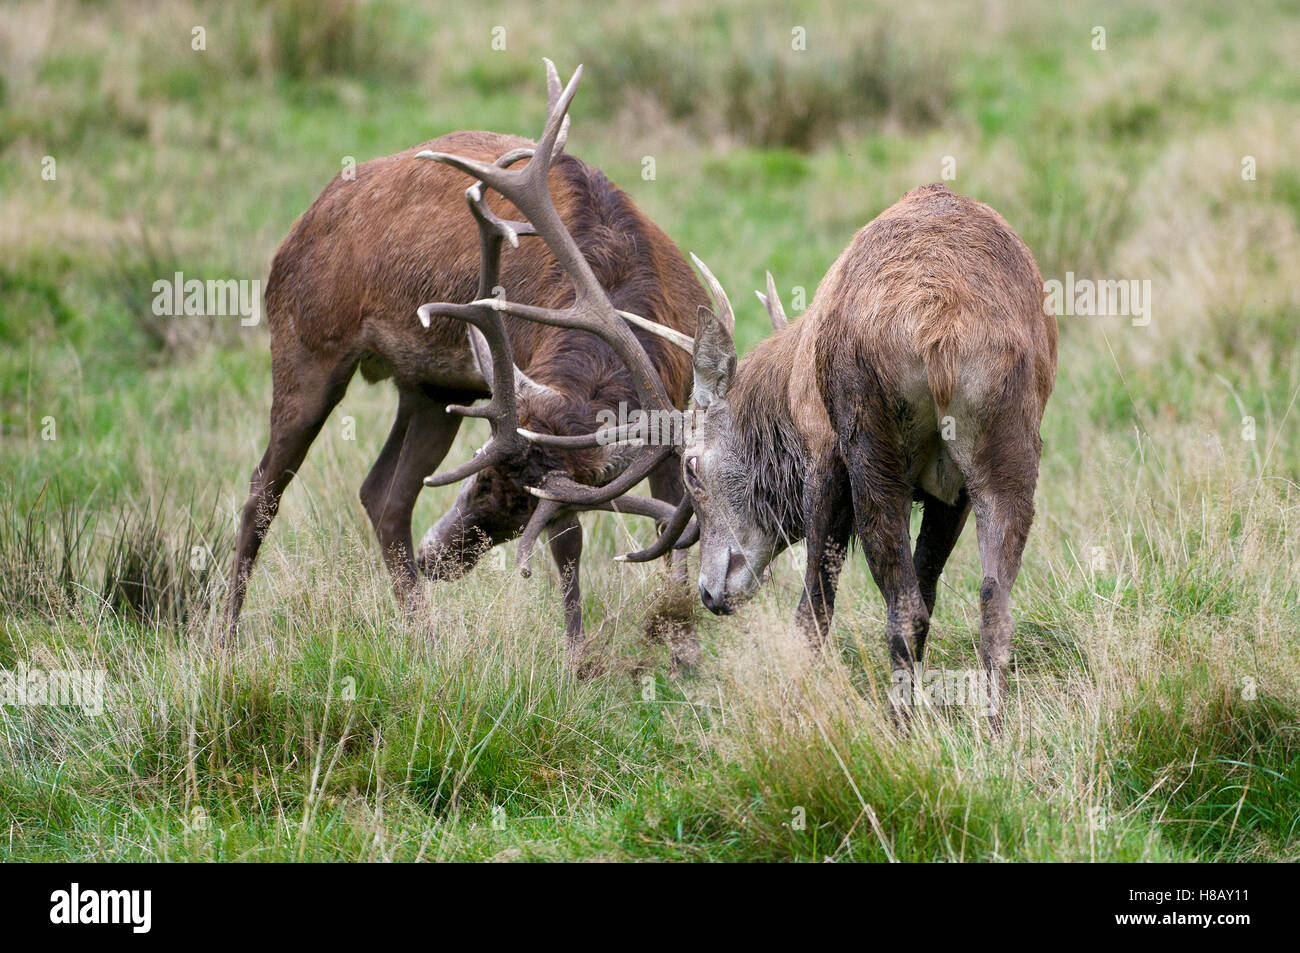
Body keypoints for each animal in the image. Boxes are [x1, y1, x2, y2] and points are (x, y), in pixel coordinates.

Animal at [225, 60, 708, 671]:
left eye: (521, 514)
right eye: (479, 479)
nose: (438, 560)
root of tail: (298, 228)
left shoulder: (671, 416)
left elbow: (673, 524)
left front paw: (684, 653)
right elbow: (572, 545)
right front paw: (578, 663)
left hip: (431, 386)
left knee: (383, 495)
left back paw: (424, 638)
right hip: (305, 346)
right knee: (261, 493)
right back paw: (224, 640)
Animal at [466, 163, 1058, 722]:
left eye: (692, 469)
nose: (709, 593)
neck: (789, 391)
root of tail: (940, 328)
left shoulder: (825, 459)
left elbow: (814, 610)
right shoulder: (946, 492)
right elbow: (932, 588)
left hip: (870, 441)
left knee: (897, 606)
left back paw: (899, 726)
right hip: (1010, 437)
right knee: (993, 603)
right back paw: (993, 729)